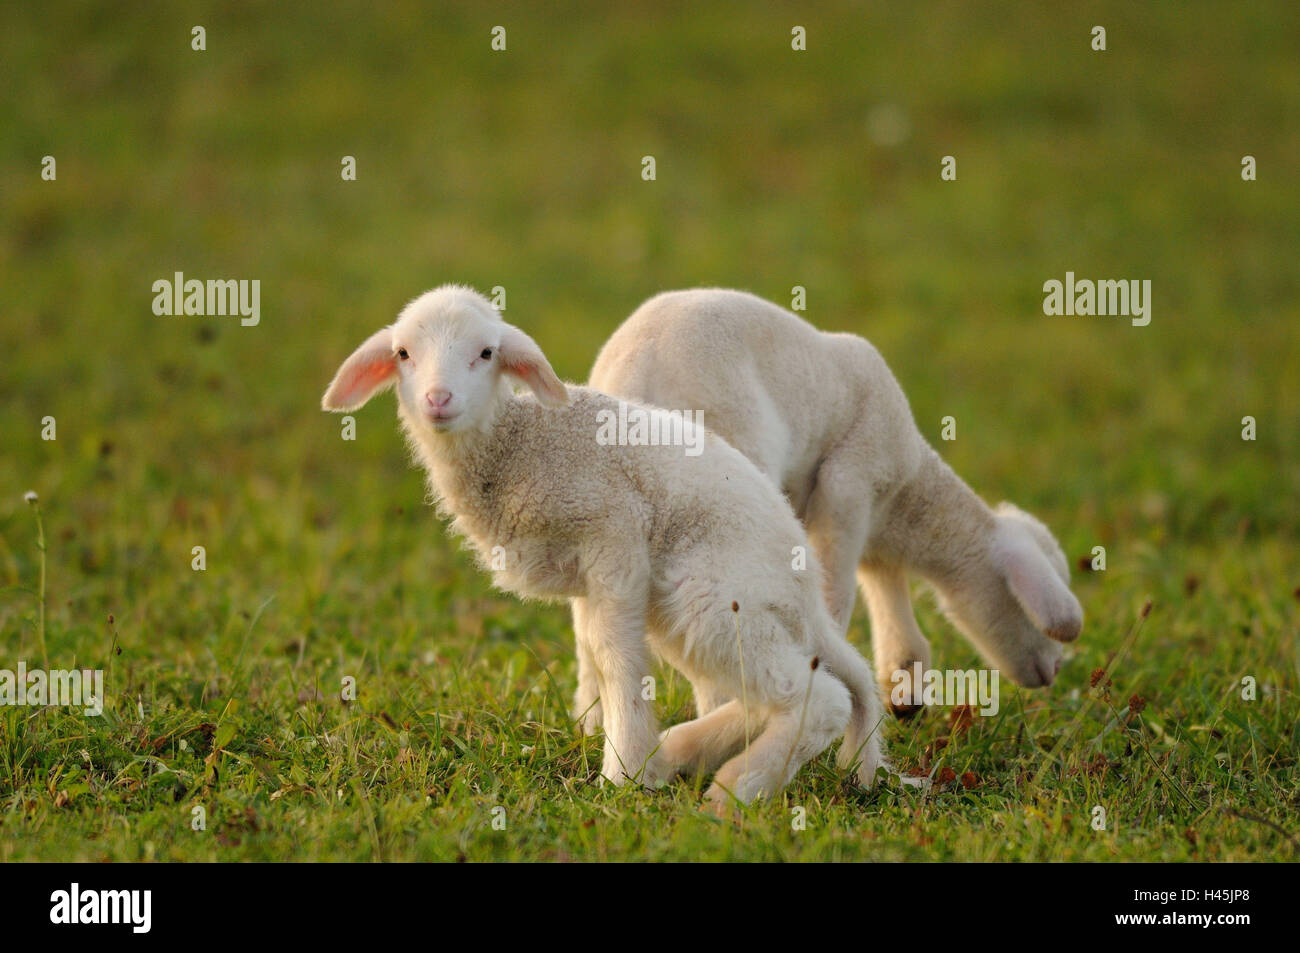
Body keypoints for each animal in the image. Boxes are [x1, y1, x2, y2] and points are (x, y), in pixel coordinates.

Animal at [321, 285, 894, 808]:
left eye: (485, 353)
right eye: (403, 353)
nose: (438, 400)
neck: (518, 445)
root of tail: (808, 597)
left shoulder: (614, 531)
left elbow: (612, 653)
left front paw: (622, 775)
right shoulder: (586, 570)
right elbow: (591, 650)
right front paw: (609, 740)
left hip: (720, 599)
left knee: (821, 698)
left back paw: (734, 790)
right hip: (691, 611)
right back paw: (681, 753)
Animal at [589, 288, 1084, 718]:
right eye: (1021, 605)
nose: (1054, 671)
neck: (905, 504)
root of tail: (638, 371)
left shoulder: (872, 527)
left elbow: (885, 587)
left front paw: (906, 690)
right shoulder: (850, 483)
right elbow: (836, 594)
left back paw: (594, 721)